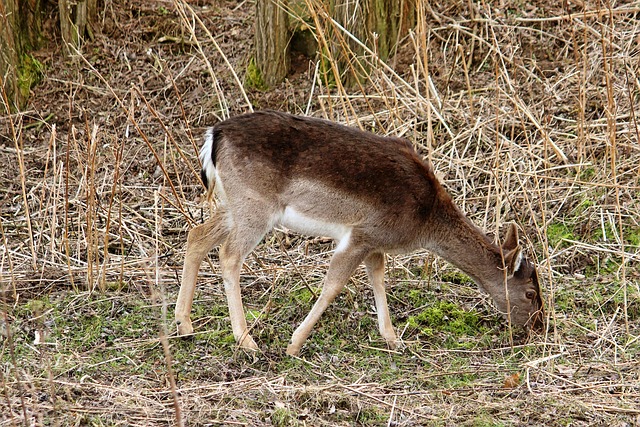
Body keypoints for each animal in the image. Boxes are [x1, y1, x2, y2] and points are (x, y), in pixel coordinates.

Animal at [175, 110, 544, 356]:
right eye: (529, 293)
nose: (537, 327)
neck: (423, 222)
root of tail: (214, 135)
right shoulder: (362, 234)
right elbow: (334, 284)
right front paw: (295, 344)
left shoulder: (377, 242)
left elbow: (378, 279)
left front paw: (394, 339)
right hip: (256, 206)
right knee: (228, 254)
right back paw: (246, 340)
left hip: (232, 203)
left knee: (197, 235)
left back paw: (185, 325)